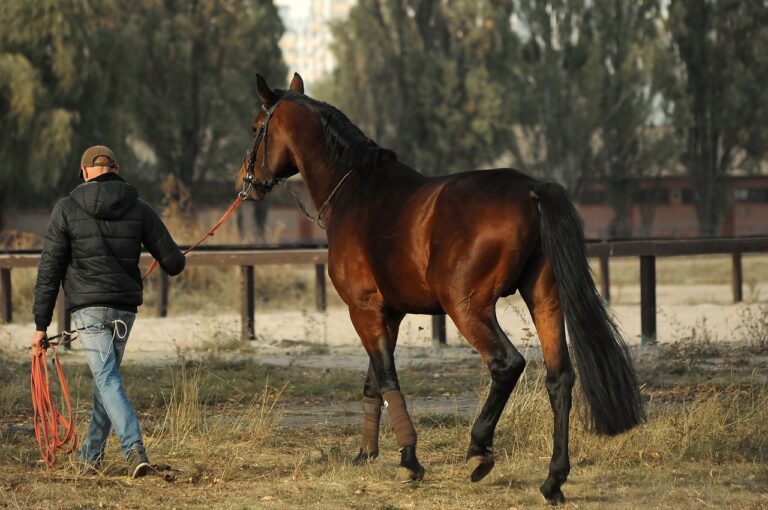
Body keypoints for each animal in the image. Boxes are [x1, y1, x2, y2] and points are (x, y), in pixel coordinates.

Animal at [235, 73, 645, 504]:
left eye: (255, 127)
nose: (245, 181)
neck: (356, 191)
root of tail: (532, 189)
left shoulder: (363, 309)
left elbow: (387, 378)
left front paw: (409, 462)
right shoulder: (388, 313)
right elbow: (373, 380)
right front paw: (367, 455)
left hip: (467, 307)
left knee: (507, 364)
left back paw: (478, 451)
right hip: (544, 299)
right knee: (559, 378)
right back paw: (553, 480)